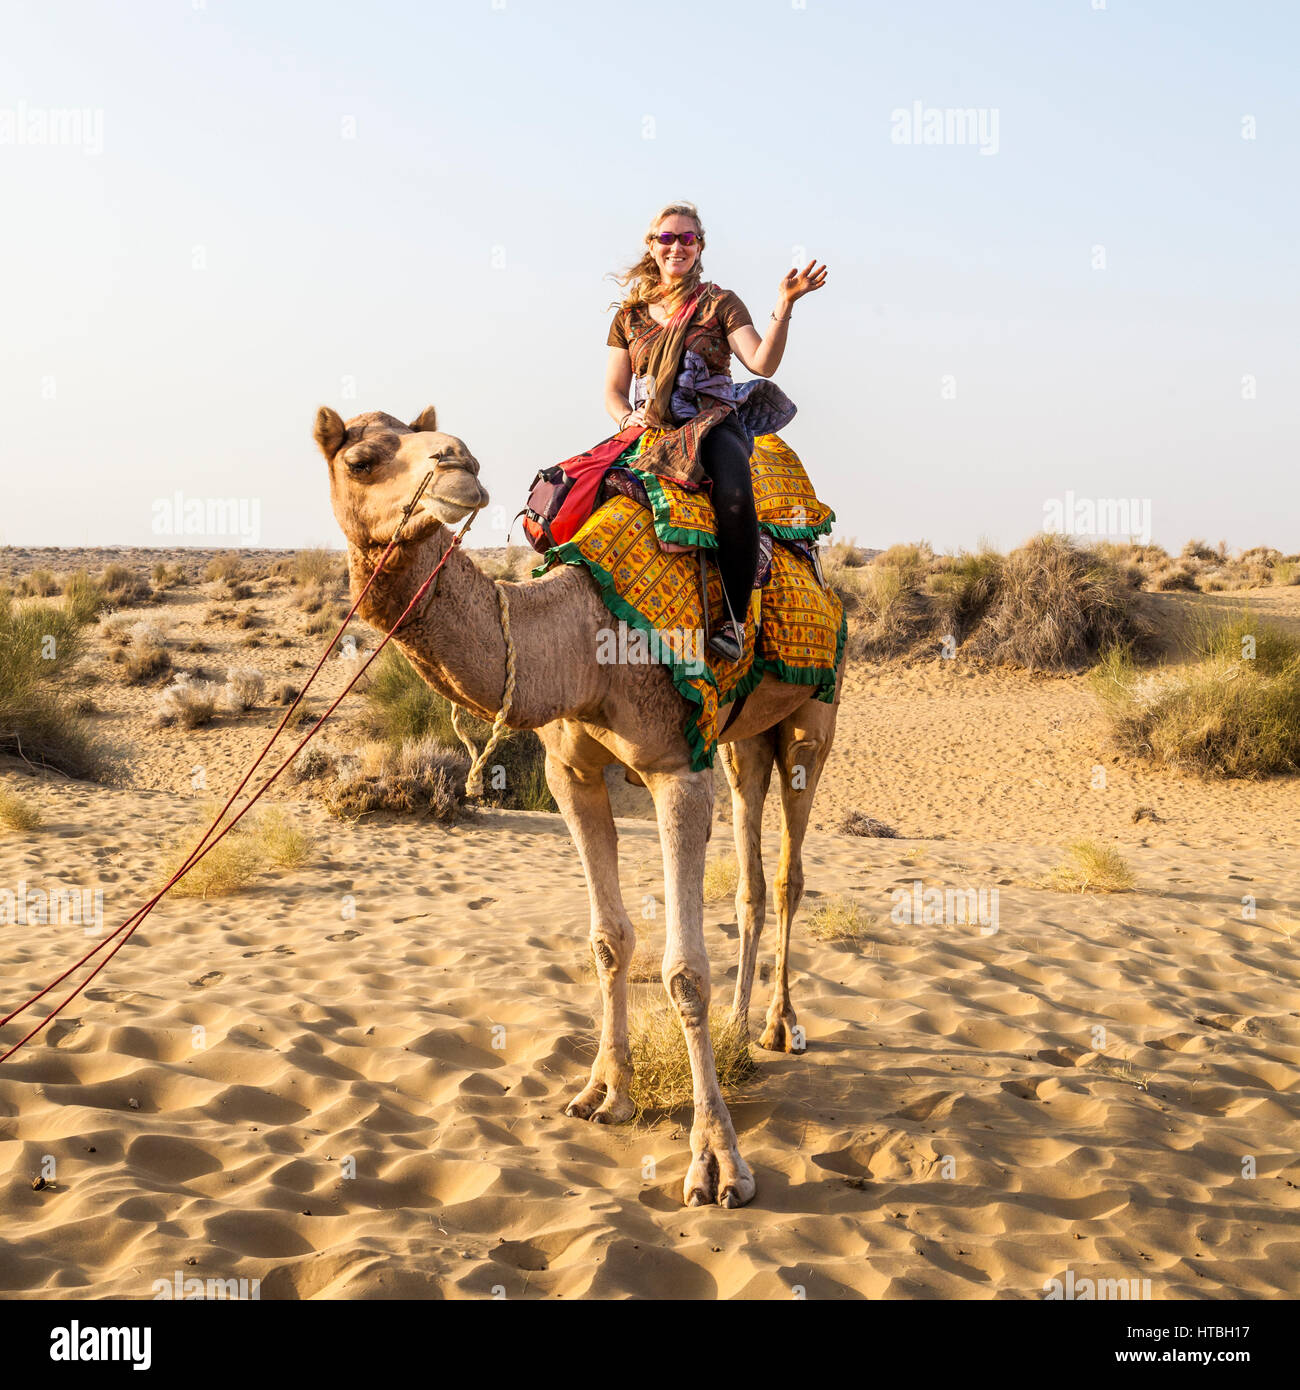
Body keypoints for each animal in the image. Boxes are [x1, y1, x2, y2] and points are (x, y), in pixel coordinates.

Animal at [314, 404, 842, 1208]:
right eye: (362, 460)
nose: (460, 463)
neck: (581, 640)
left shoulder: (675, 772)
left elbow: (683, 969)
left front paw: (718, 1161)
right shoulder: (571, 773)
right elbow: (608, 939)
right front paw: (605, 1094)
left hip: (815, 716)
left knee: (787, 873)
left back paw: (782, 1027)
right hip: (743, 740)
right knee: (752, 877)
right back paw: (740, 1027)